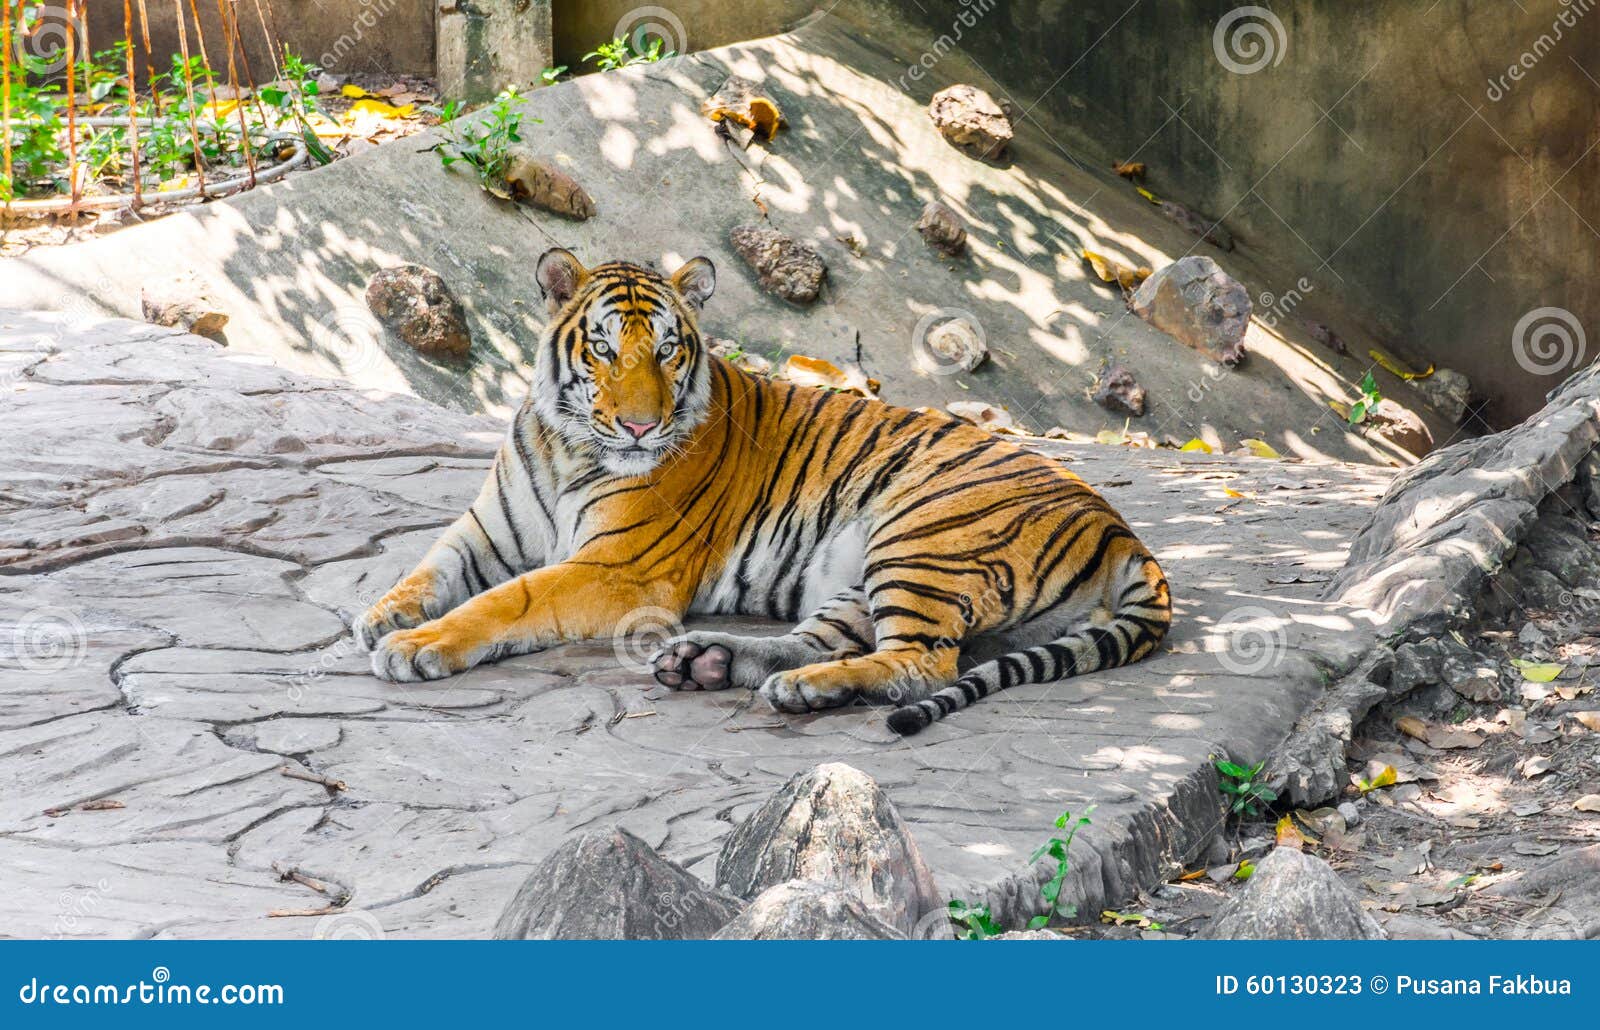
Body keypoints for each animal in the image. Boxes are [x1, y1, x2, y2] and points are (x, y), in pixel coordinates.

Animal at [353, 248, 1171, 735]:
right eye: (604, 348)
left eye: (667, 350)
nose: (643, 425)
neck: (567, 442)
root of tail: (1123, 531)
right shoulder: (487, 529)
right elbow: (432, 567)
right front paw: (385, 612)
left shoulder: (618, 569)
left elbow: (505, 601)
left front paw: (416, 645)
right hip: (869, 572)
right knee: (827, 638)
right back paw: (715, 662)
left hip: (921, 538)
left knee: (924, 664)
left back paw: (795, 688)